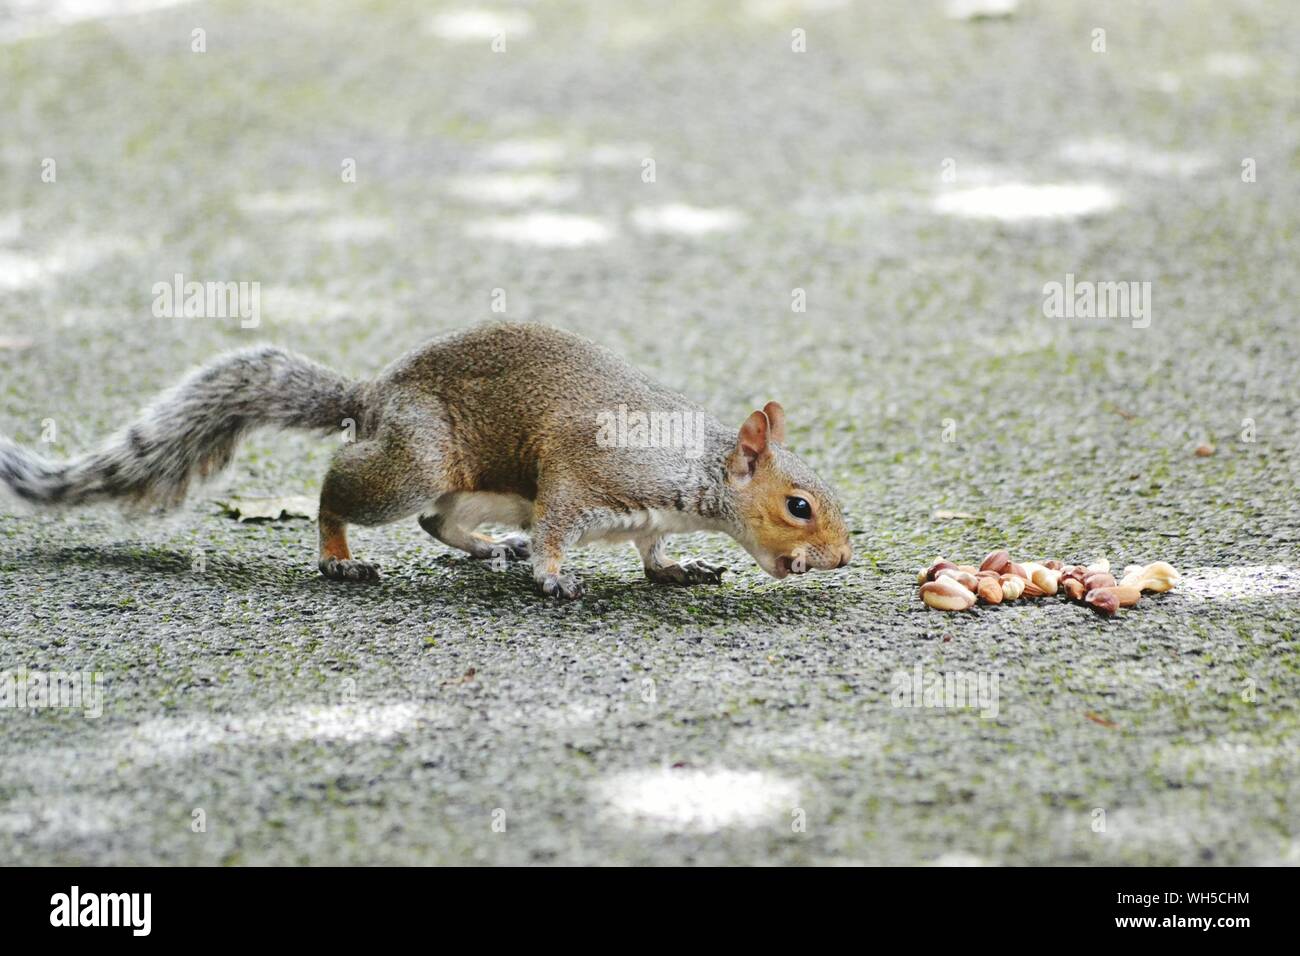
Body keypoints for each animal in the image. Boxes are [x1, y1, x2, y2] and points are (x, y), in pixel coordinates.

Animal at [0, 322, 851, 598]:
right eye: (798, 505)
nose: (842, 558)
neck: (692, 472)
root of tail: (374, 397)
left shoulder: (645, 517)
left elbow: (651, 551)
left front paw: (680, 569)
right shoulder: (584, 475)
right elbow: (557, 525)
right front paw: (553, 576)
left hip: (470, 488)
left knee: (439, 526)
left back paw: (488, 547)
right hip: (412, 468)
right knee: (338, 492)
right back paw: (339, 556)